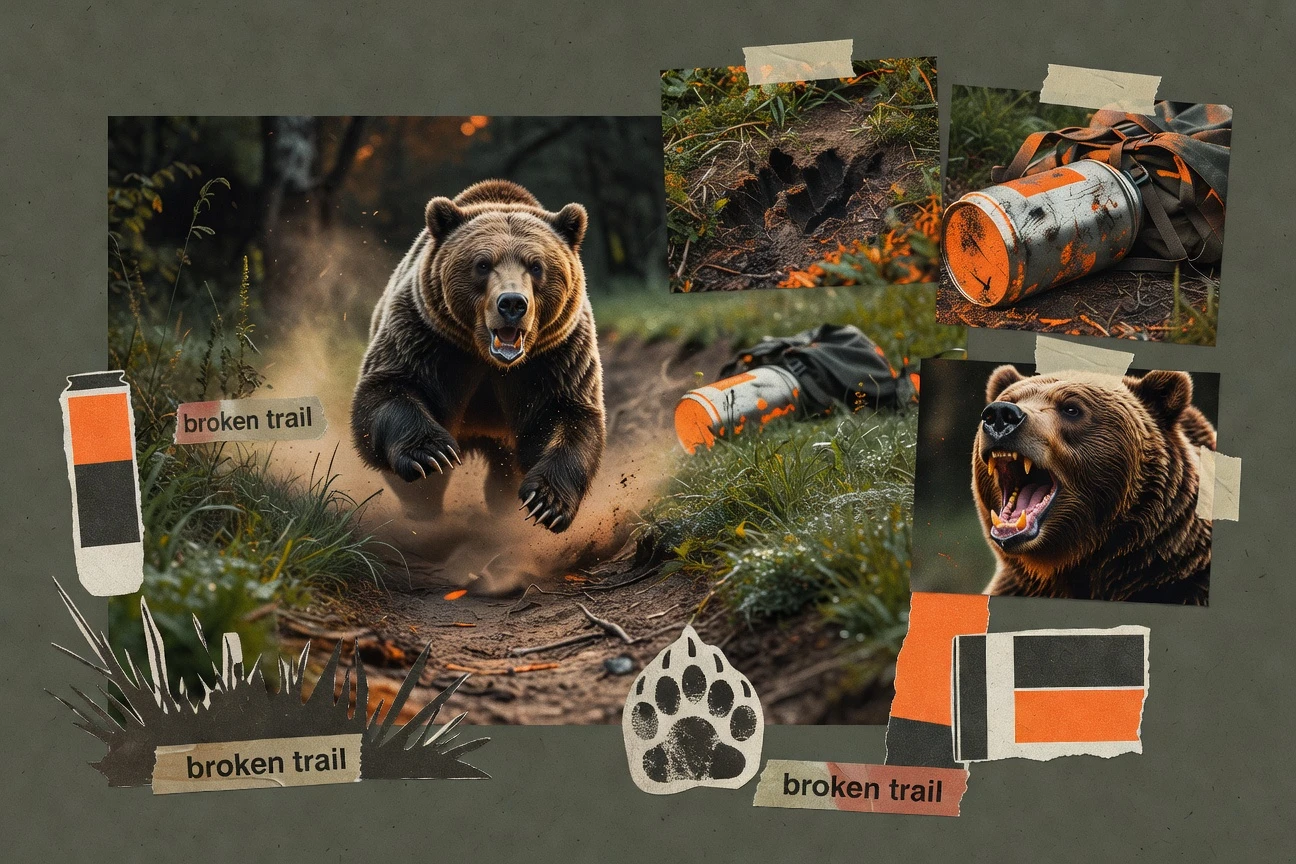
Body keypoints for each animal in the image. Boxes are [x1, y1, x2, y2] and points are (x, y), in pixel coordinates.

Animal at [350, 179, 605, 533]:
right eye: (483, 264)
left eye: (536, 266)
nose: (512, 303)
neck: (489, 359)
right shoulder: (427, 336)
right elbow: (389, 389)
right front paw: (432, 453)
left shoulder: (556, 356)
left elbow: (566, 415)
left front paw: (547, 502)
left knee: (504, 475)